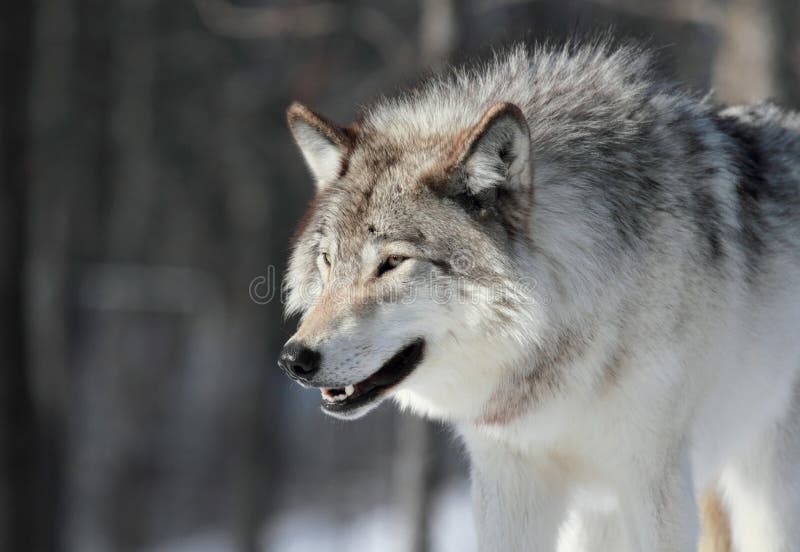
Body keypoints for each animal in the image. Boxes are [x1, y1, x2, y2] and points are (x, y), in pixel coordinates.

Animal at [278, 42, 800, 551]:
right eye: (327, 260)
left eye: (392, 262)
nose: (294, 359)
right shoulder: (508, 480)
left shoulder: (654, 482)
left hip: (765, 498)